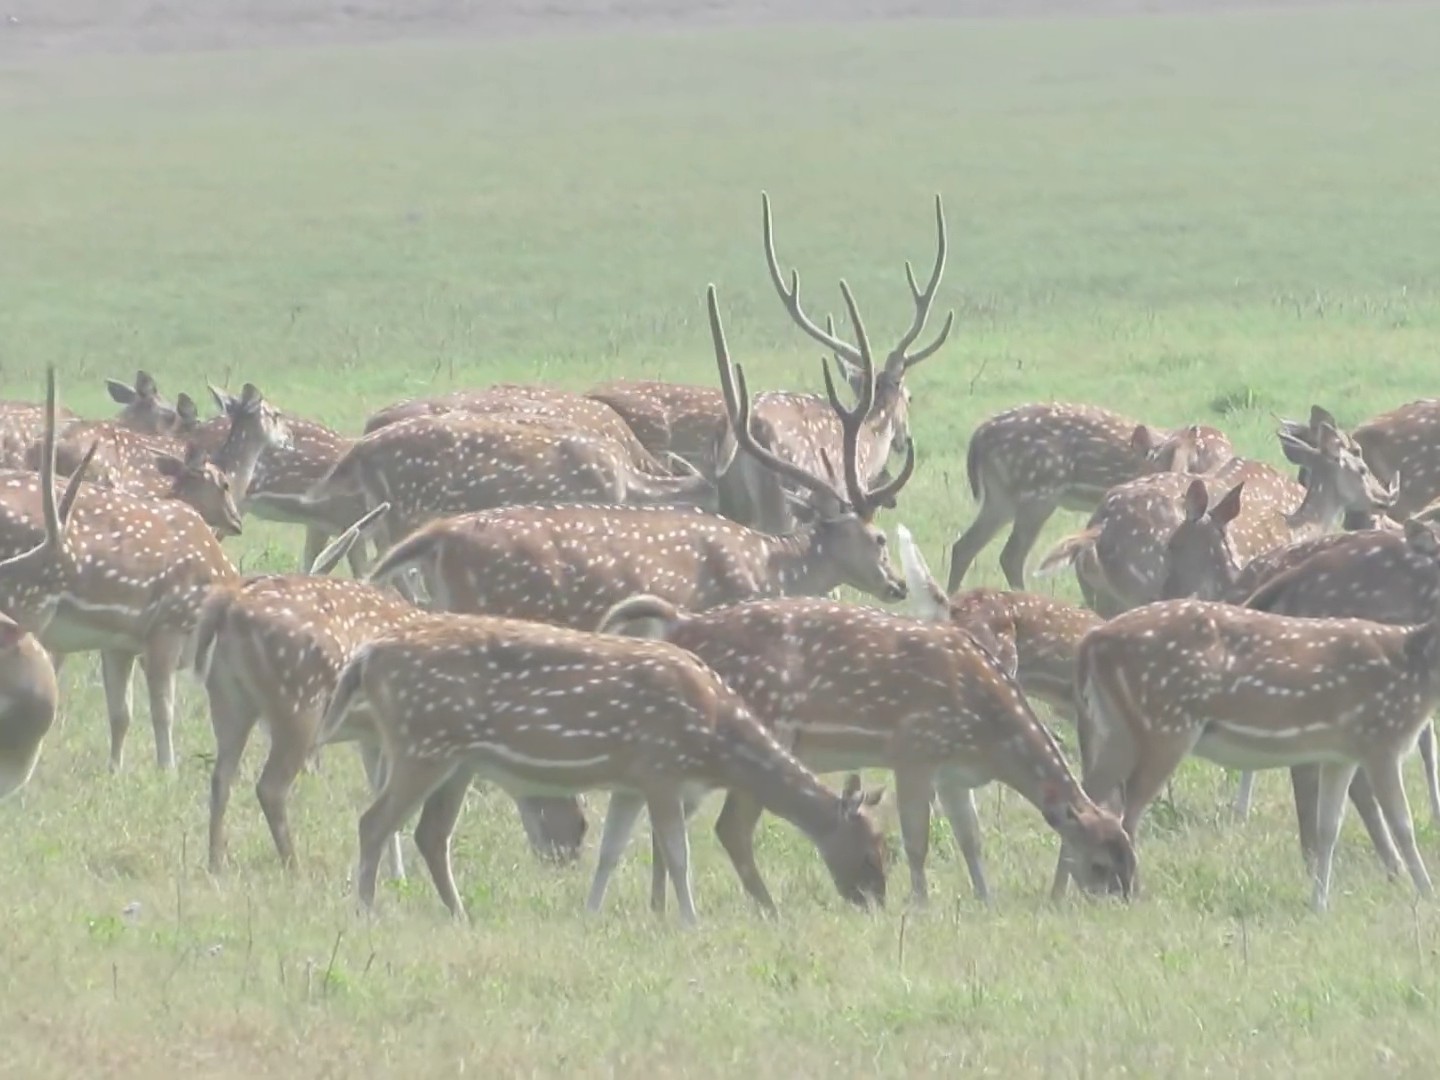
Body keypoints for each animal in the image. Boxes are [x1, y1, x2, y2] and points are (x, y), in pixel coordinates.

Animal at [316, 611, 891, 926]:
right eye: (872, 851)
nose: (875, 903)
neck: (712, 738)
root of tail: (365, 657)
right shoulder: (659, 766)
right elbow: (678, 854)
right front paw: (690, 920)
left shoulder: (630, 781)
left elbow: (611, 850)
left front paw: (591, 914)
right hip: (421, 742)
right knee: (374, 822)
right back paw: (365, 910)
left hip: (455, 758)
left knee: (431, 834)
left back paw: (461, 916)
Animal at [598, 592, 1136, 913]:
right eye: (1098, 865)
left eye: (1131, 856)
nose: (1125, 899)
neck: (987, 729)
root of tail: (680, 626)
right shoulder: (914, 748)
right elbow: (917, 837)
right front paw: (920, 906)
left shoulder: (954, 771)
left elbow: (971, 838)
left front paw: (986, 902)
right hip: (757, 736)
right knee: (725, 827)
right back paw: (756, 908)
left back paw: (659, 907)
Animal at [946, 404, 1237, 591]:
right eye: (1153, 462)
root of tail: (978, 438)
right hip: (1038, 493)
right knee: (1011, 555)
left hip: (1001, 496)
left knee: (964, 546)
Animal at [1052, 593, 1440, 912]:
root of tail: (1092, 641)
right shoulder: (1381, 738)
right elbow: (1403, 825)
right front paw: (1427, 894)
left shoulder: (1341, 753)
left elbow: (1327, 828)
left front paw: (1319, 905)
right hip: (1165, 723)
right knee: (1127, 814)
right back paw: (1133, 894)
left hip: (1119, 729)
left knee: (1086, 799)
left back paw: (1060, 893)